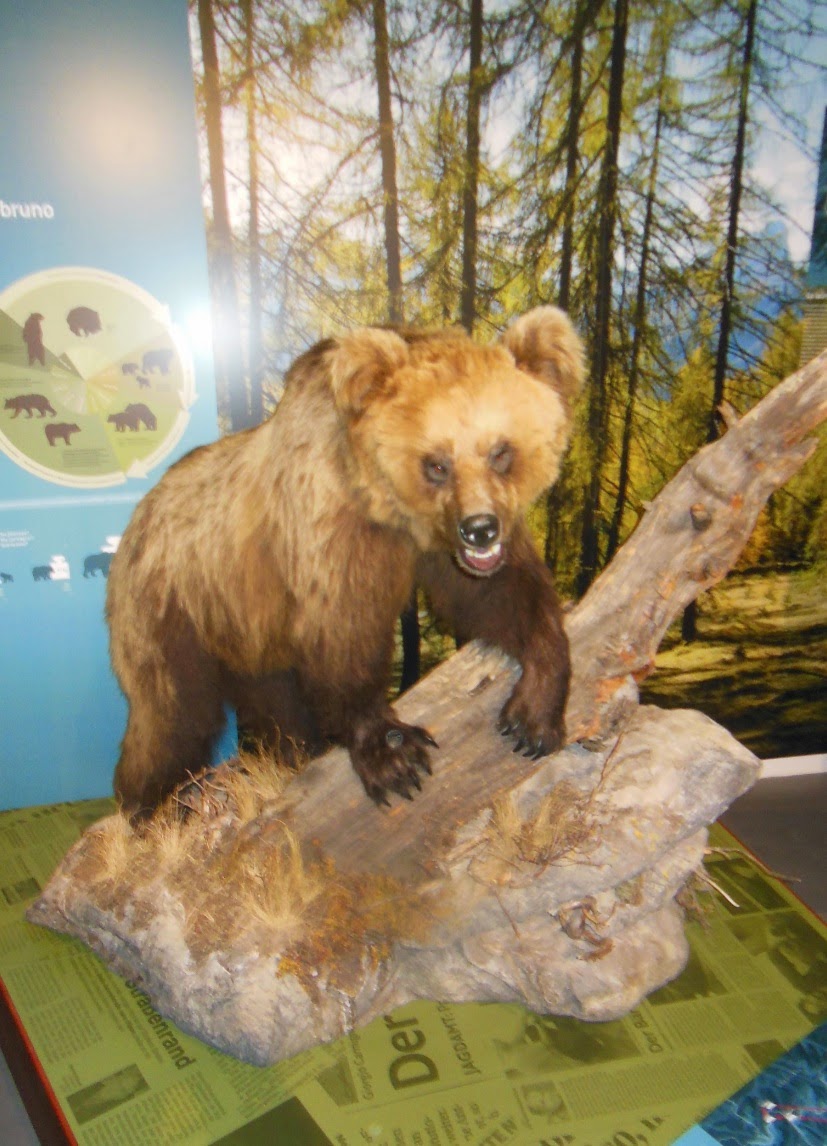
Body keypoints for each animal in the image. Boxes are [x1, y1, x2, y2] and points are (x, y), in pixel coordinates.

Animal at [106, 306, 584, 820]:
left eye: (500, 452)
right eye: (436, 463)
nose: (480, 529)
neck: (389, 510)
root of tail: (135, 520)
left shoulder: (444, 551)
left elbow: (500, 594)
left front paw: (534, 713)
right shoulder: (331, 533)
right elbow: (343, 635)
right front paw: (392, 752)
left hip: (249, 626)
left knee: (274, 701)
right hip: (172, 603)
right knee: (173, 713)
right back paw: (146, 806)